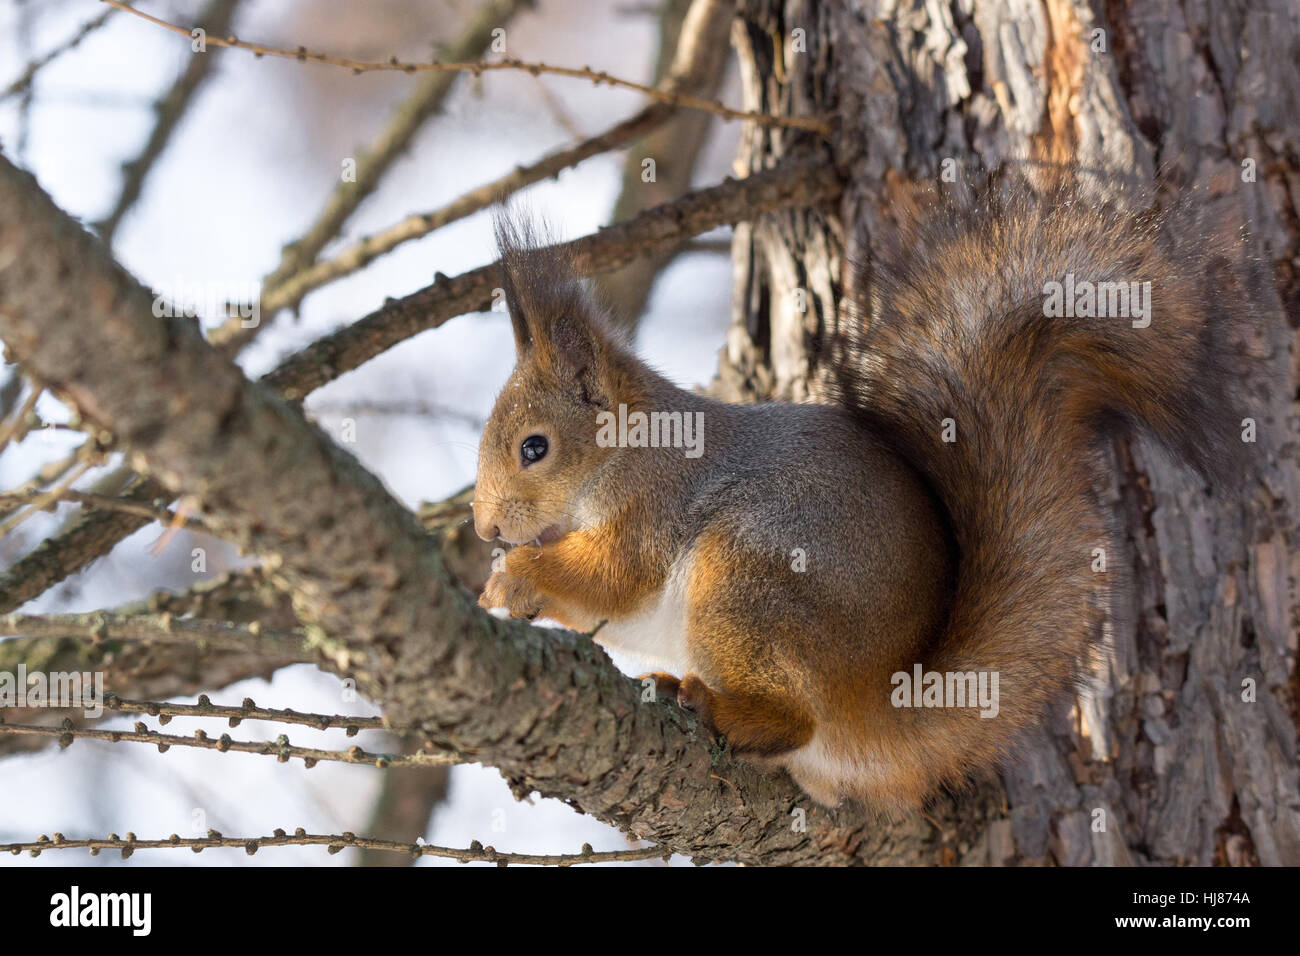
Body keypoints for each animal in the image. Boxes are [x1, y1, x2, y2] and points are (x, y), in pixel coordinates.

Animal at [472, 171, 1249, 812]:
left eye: (534, 448)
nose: (484, 531)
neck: (624, 451)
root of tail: (877, 702)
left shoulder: (655, 505)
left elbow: (613, 577)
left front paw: (516, 576)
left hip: (748, 581)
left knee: (792, 718)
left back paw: (717, 707)